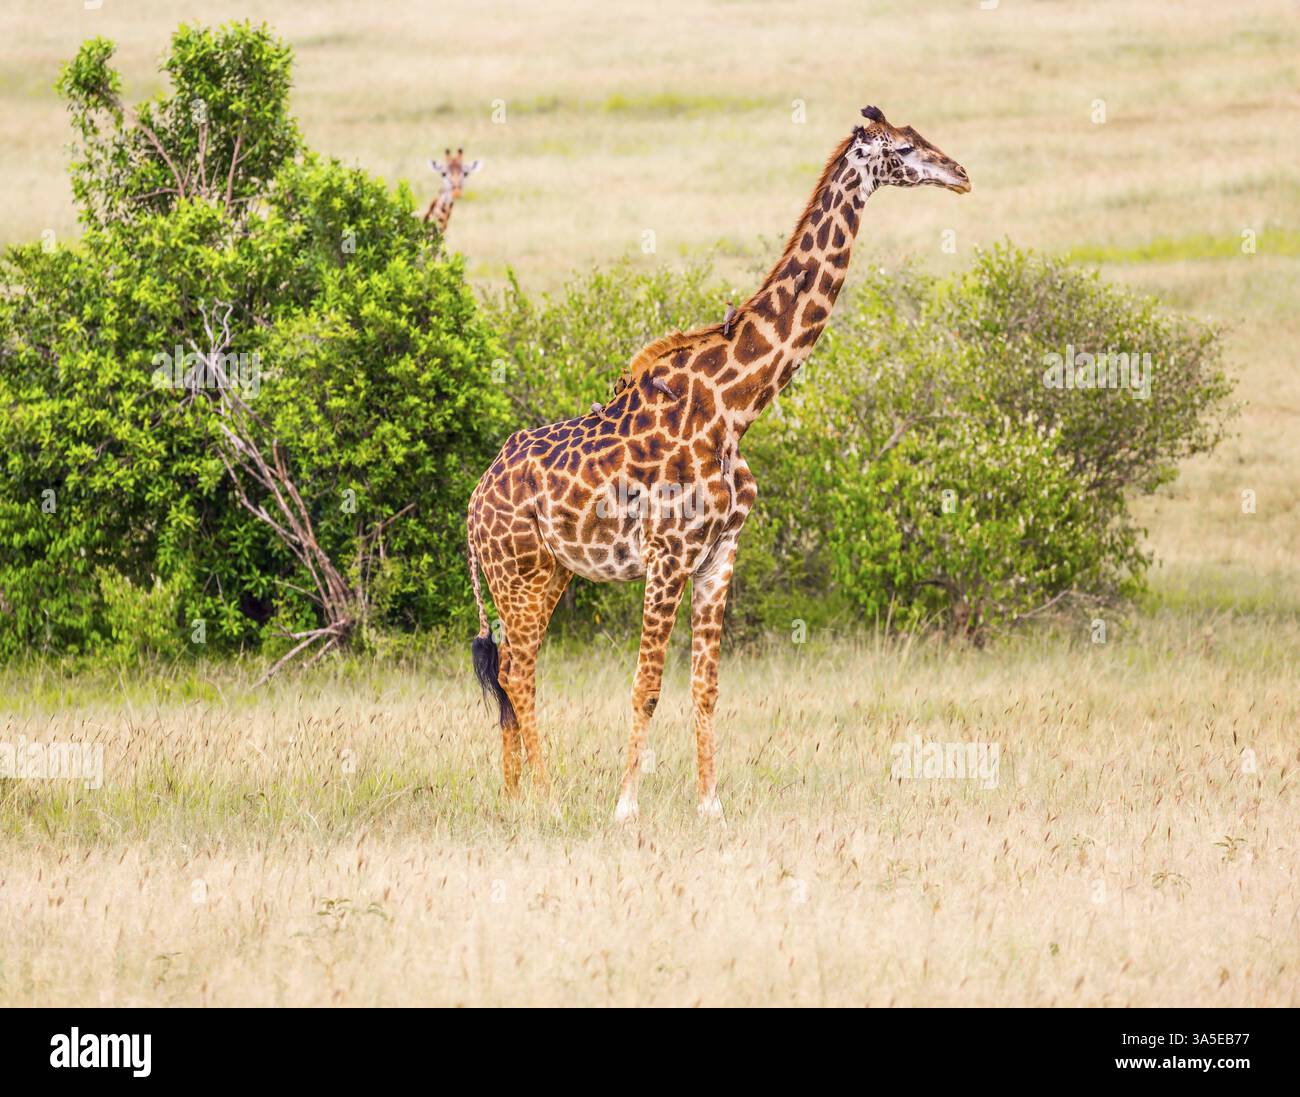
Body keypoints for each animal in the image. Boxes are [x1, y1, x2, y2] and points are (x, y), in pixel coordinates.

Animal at [466, 106, 970, 821]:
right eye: (902, 149)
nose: (960, 174)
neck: (736, 406)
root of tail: (472, 503)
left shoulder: (719, 555)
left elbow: (705, 688)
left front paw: (710, 805)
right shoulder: (667, 556)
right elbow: (646, 685)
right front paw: (625, 807)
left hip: (545, 573)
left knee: (512, 670)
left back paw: (515, 799)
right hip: (518, 572)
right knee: (517, 672)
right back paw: (550, 799)